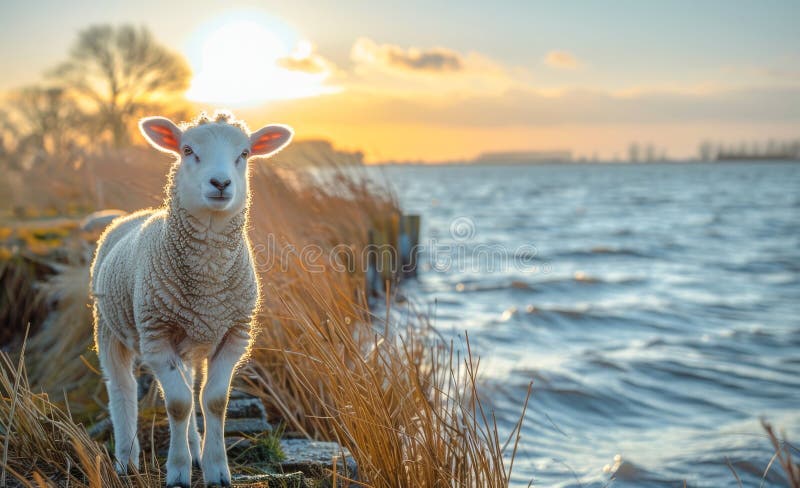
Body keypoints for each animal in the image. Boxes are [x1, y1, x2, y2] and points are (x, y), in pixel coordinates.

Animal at [91, 111, 292, 487]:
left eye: (244, 154)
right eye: (187, 150)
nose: (221, 183)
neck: (208, 282)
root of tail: (140, 212)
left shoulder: (234, 335)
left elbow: (212, 401)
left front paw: (216, 469)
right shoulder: (156, 336)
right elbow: (179, 404)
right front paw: (177, 471)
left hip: (190, 342)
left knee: (188, 383)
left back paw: (195, 449)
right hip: (109, 328)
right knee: (122, 388)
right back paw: (126, 459)